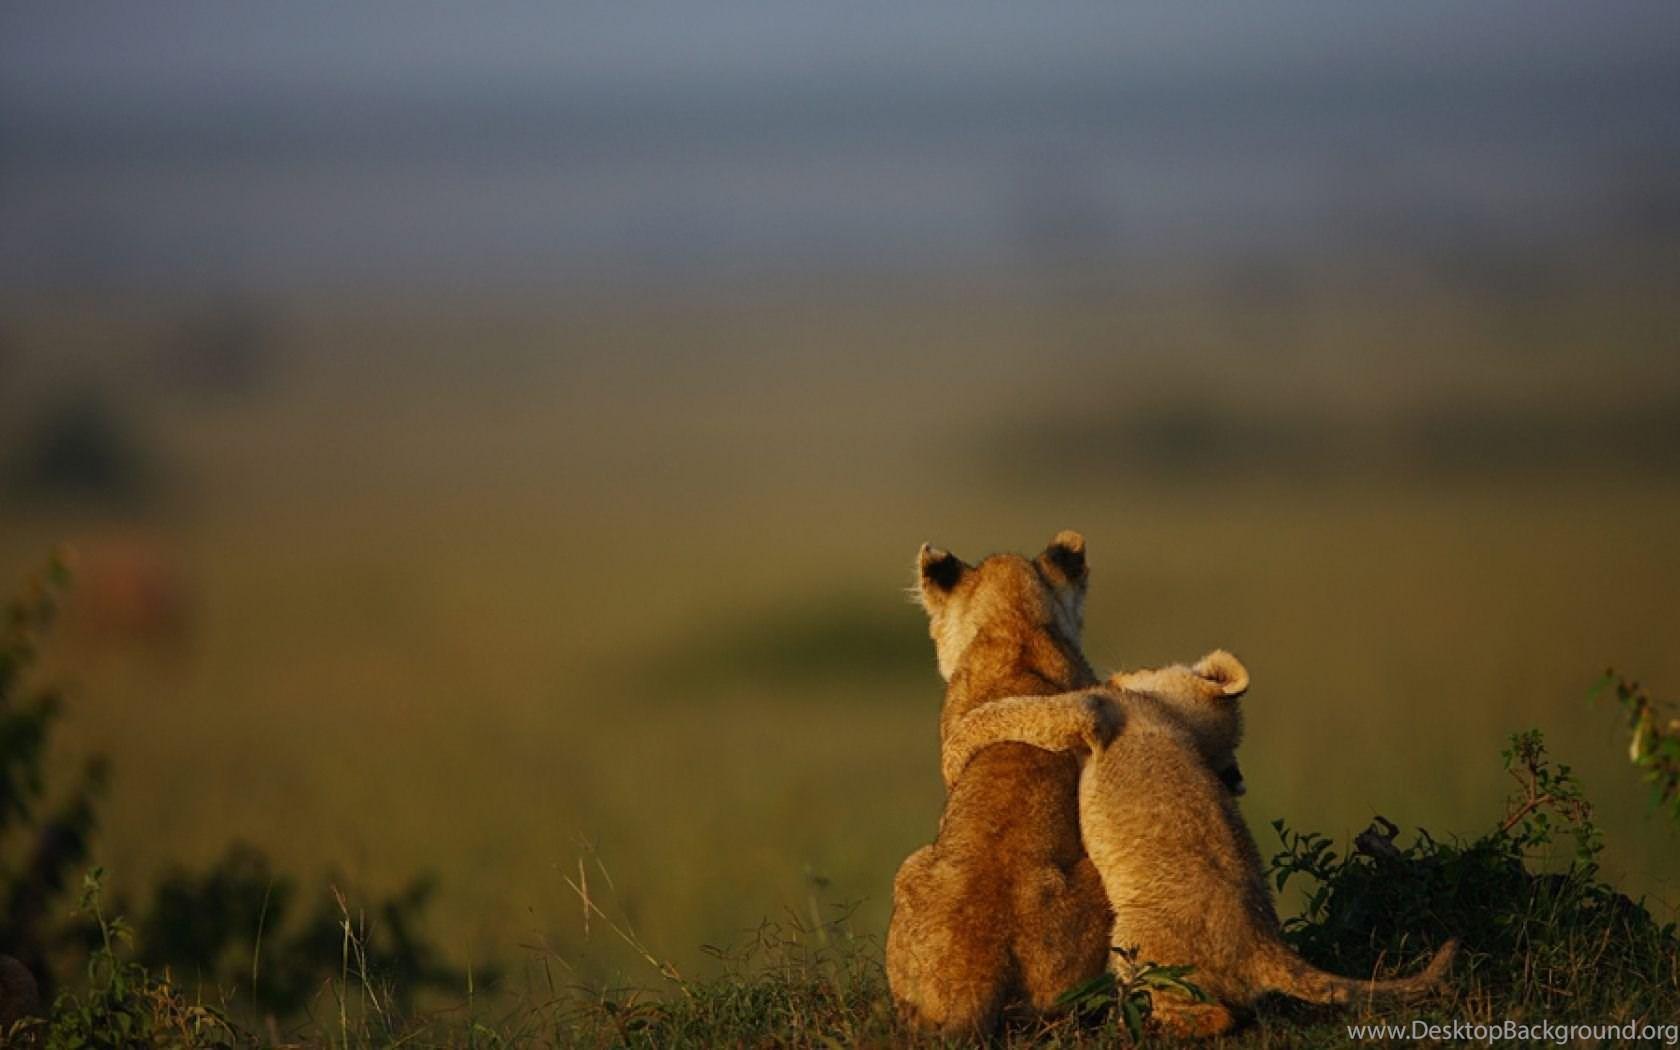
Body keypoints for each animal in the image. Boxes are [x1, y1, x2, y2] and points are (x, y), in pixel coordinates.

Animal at [941, 651, 1457, 1037]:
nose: (1121, 670)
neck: (1178, 720)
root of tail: (1265, 947)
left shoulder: (1096, 711)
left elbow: (1018, 711)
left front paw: (956, 748)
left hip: (1136, 936)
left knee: (1214, 1016)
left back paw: (1138, 1023)